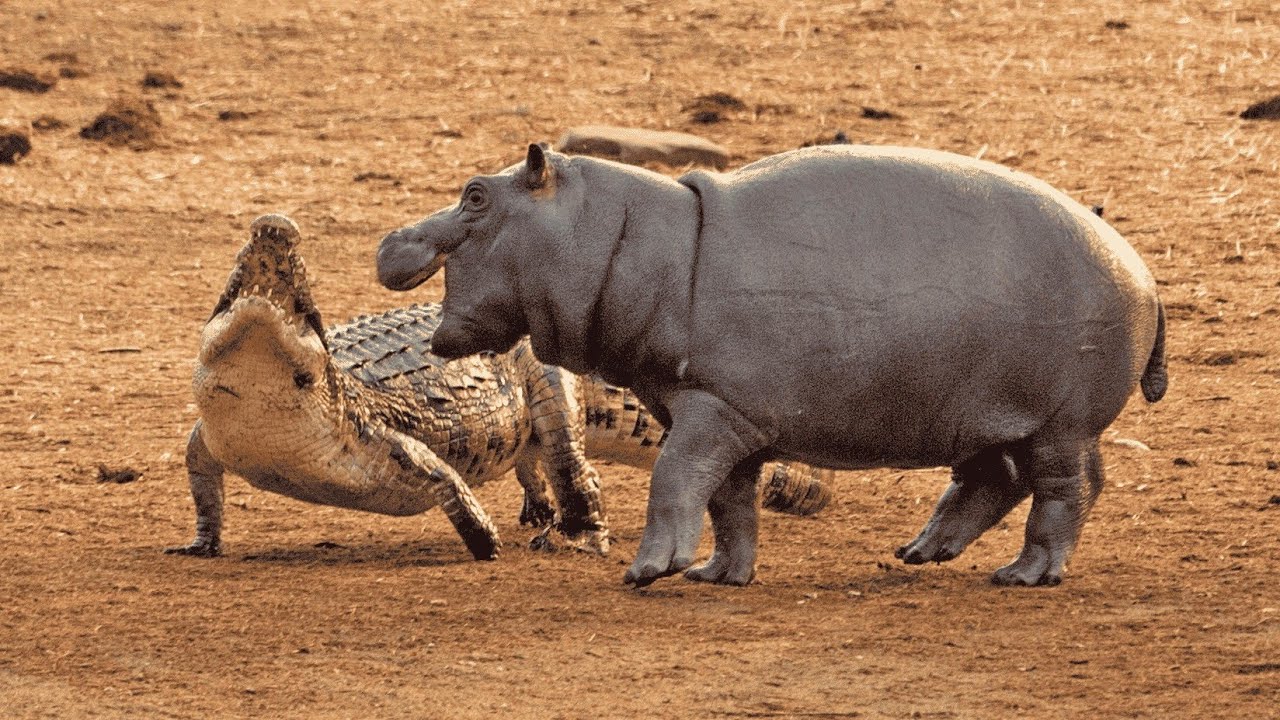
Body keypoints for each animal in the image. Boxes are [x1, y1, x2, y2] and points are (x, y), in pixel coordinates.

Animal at [376, 143, 1167, 588]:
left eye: (476, 194)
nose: (388, 238)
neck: (621, 232)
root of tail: (1142, 271)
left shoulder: (712, 407)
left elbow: (674, 479)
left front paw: (646, 571)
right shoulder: (719, 411)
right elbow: (728, 502)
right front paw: (716, 575)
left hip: (1059, 425)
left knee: (1067, 490)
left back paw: (1025, 576)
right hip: (982, 417)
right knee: (994, 479)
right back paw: (921, 552)